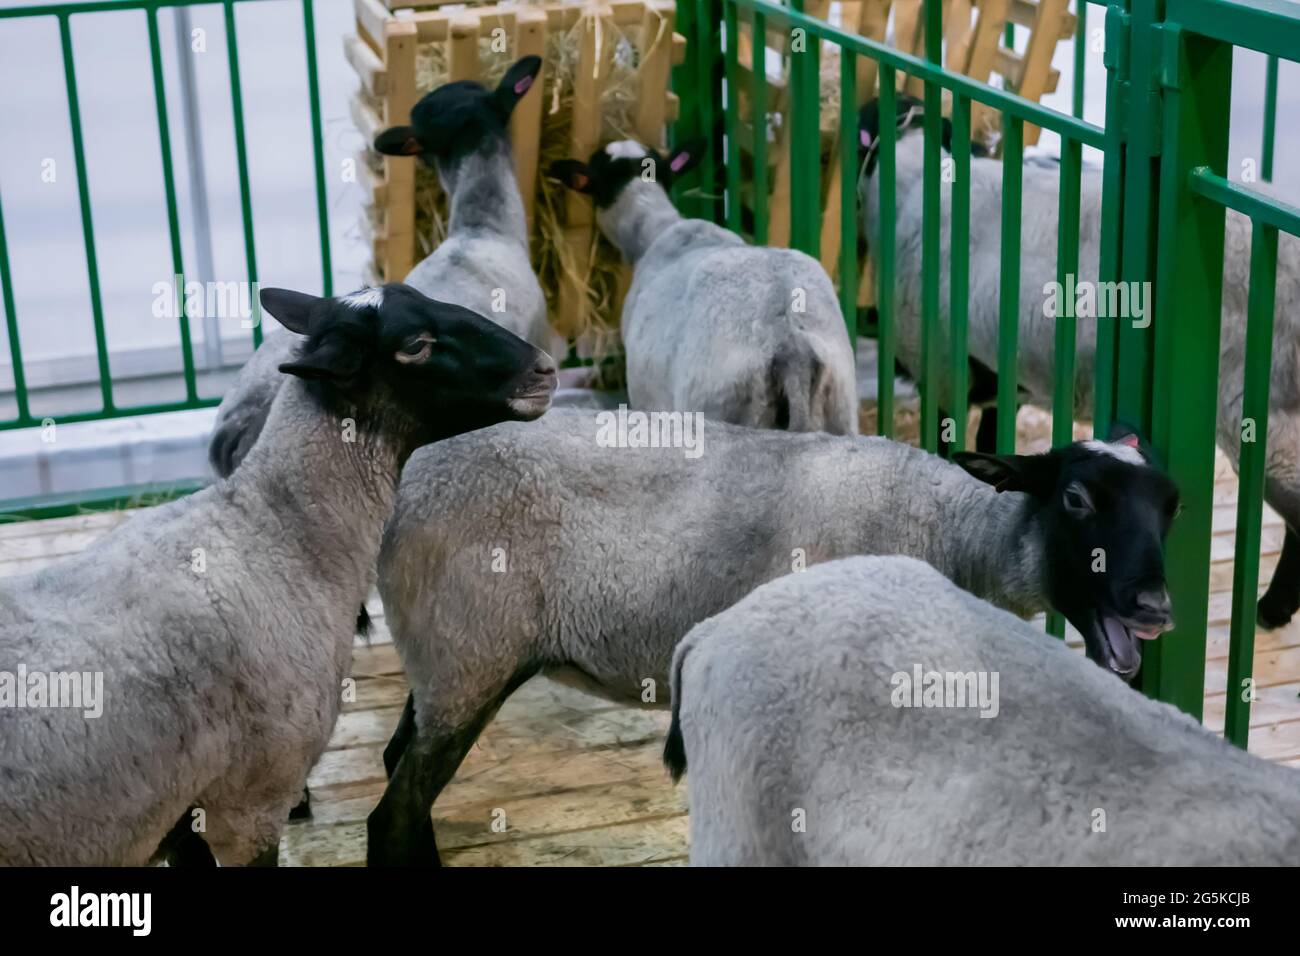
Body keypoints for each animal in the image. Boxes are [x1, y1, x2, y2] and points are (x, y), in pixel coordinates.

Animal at [367, 407, 1179, 865]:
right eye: (1075, 499)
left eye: (1171, 504)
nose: (1156, 607)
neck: (949, 531)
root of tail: (407, 479)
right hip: (468, 650)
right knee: (390, 815)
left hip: (444, 662)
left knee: (397, 770)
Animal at [858, 94, 1300, 628]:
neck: (911, 184)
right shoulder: (995, 373)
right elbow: (990, 442)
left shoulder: (942, 367)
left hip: (1267, 416)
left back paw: (1271, 610)